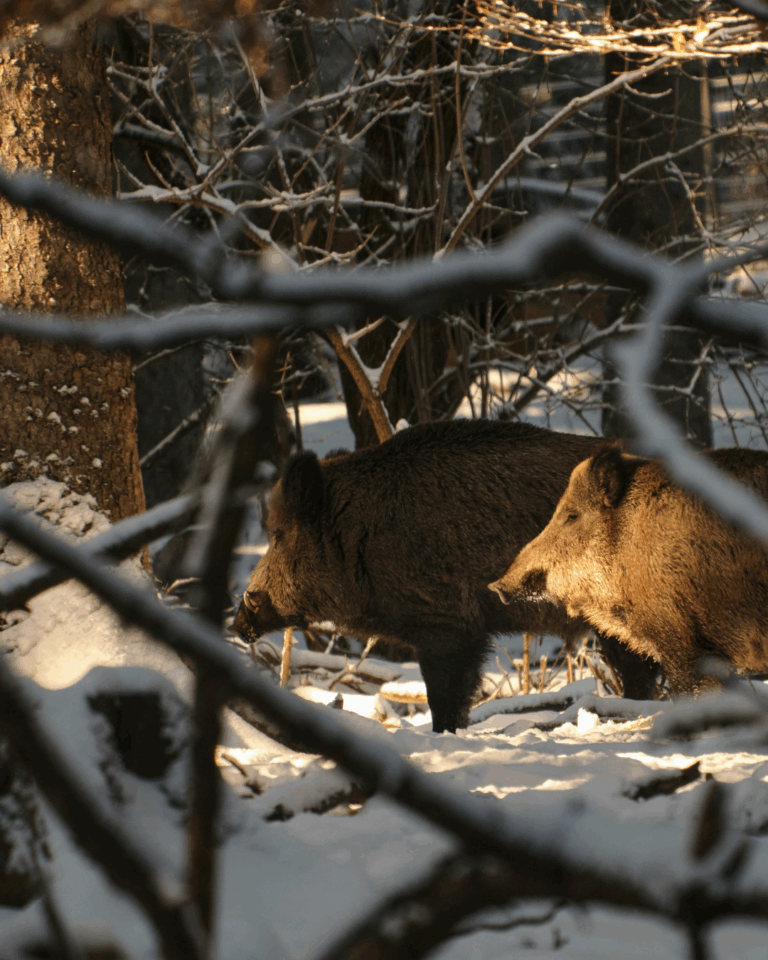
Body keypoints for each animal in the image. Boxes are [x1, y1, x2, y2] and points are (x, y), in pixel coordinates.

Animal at [231, 419, 658, 733]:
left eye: (278, 535)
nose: (238, 621)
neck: (357, 535)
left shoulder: (447, 623)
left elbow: (444, 697)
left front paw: (443, 736)